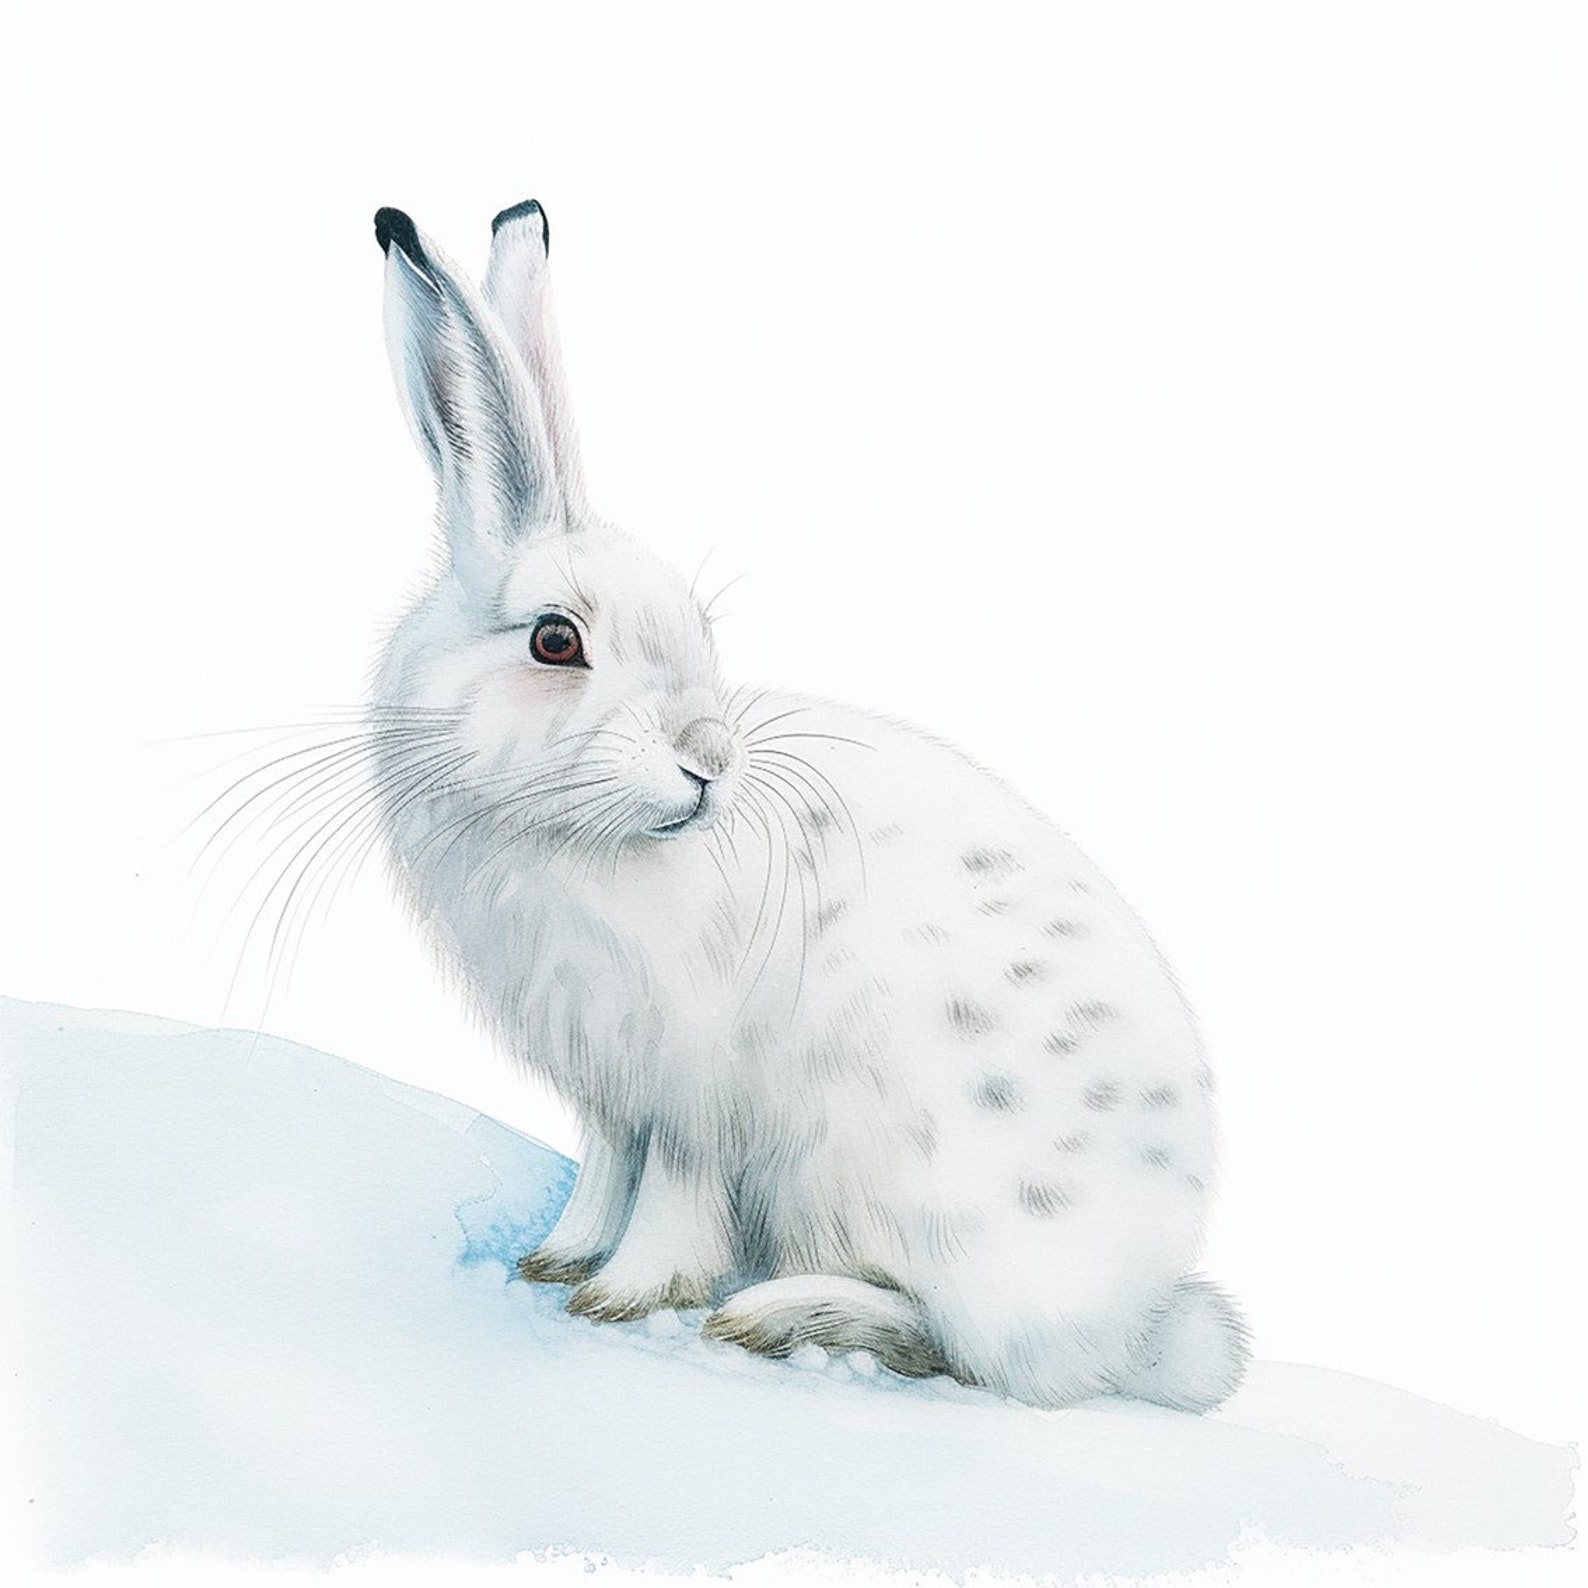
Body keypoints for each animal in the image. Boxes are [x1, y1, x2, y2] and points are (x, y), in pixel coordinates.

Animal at [369, 200, 1250, 1412]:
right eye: (555, 642)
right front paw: (554, 1259)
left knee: (971, 1352)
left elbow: (673, 1186)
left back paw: (781, 1314)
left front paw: (624, 1296)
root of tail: (1139, 1331)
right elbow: (606, 1164)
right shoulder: (607, 1081)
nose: (708, 762)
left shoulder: (691, 1080)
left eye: (697, 630)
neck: (582, 835)